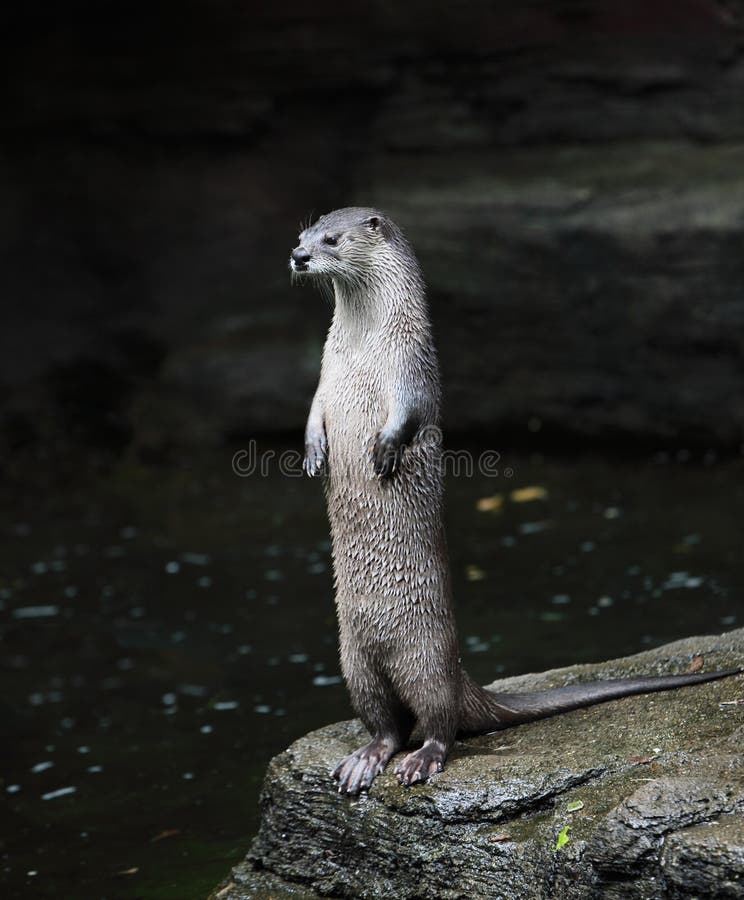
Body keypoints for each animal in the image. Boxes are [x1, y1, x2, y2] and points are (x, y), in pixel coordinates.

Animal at [290, 207, 737, 796]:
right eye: (301, 235)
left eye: (333, 239)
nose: (299, 256)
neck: (363, 352)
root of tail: (462, 674)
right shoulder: (326, 374)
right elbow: (314, 410)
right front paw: (314, 453)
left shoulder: (411, 368)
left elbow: (407, 412)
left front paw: (384, 450)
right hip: (353, 661)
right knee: (386, 723)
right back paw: (367, 759)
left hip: (425, 658)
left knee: (438, 723)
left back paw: (421, 760)